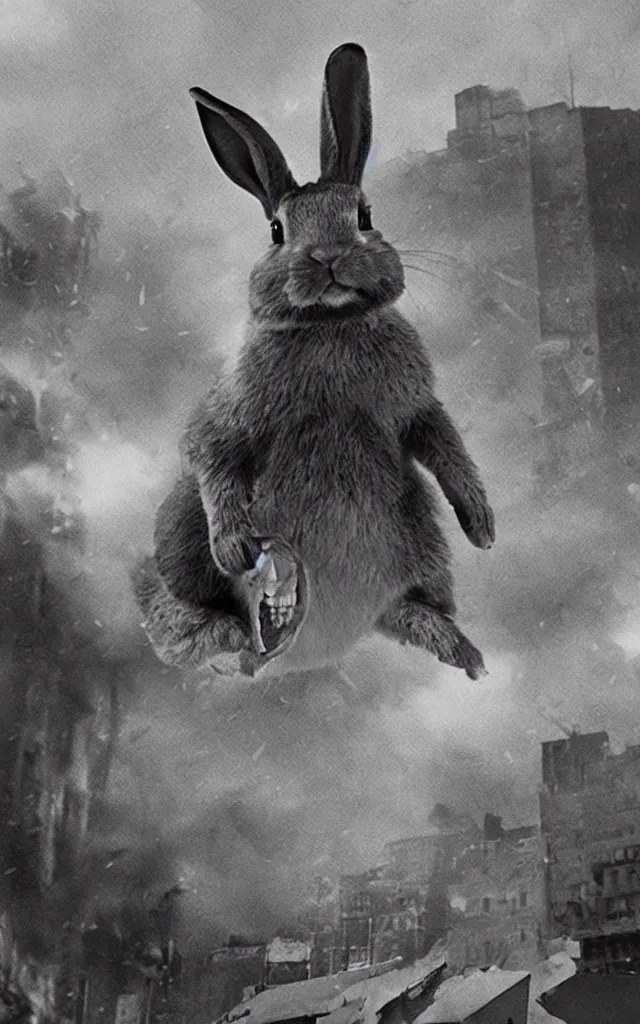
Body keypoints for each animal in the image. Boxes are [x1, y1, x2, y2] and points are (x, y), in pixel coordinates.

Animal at [134, 42, 495, 681]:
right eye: (277, 229)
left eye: (365, 215)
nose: (328, 256)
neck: (330, 325)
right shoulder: (226, 419)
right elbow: (212, 453)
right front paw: (235, 547)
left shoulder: (417, 407)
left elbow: (445, 444)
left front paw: (483, 527)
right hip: (178, 539)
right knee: (179, 623)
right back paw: (228, 640)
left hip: (422, 539)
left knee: (407, 604)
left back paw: (455, 647)